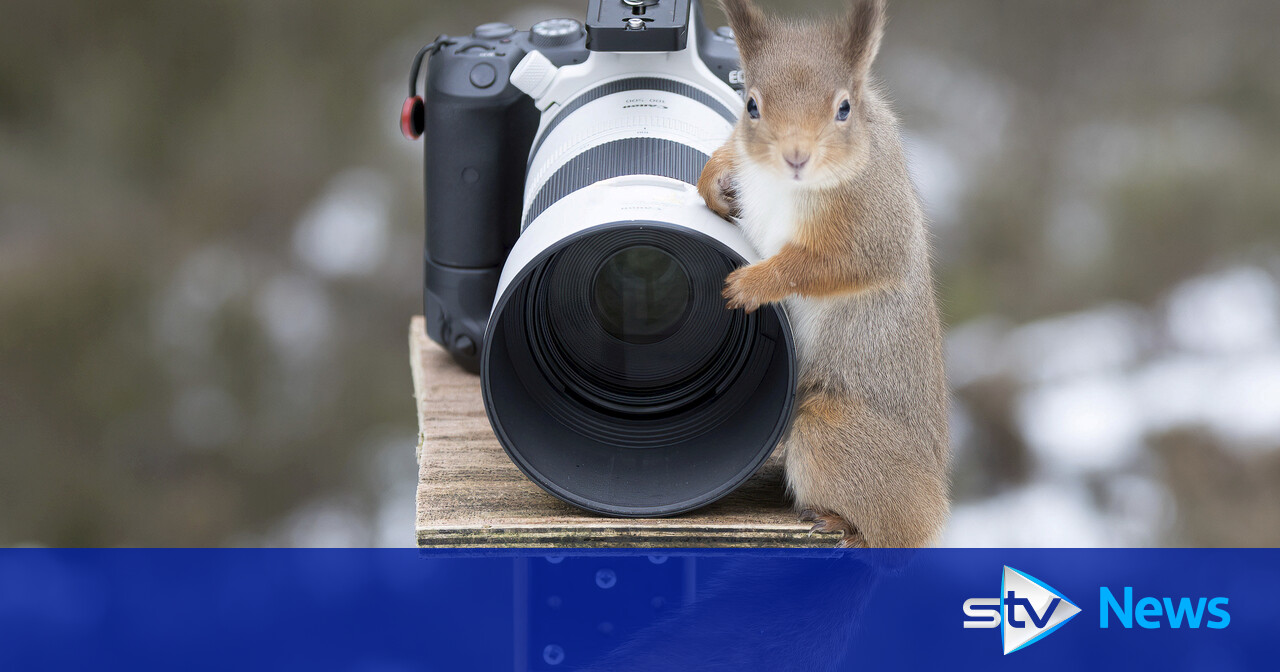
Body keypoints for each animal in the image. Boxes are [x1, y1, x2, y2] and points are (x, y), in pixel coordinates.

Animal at [699, 0, 949, 547]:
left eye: (844, 109)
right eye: (750, 105)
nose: (796, 156)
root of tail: (931, 511)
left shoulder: (871, 221)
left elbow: (827, 265)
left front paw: (750, 284)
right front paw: (714, 183)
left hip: (828, 433)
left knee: (887, 537)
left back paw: (841, 523)